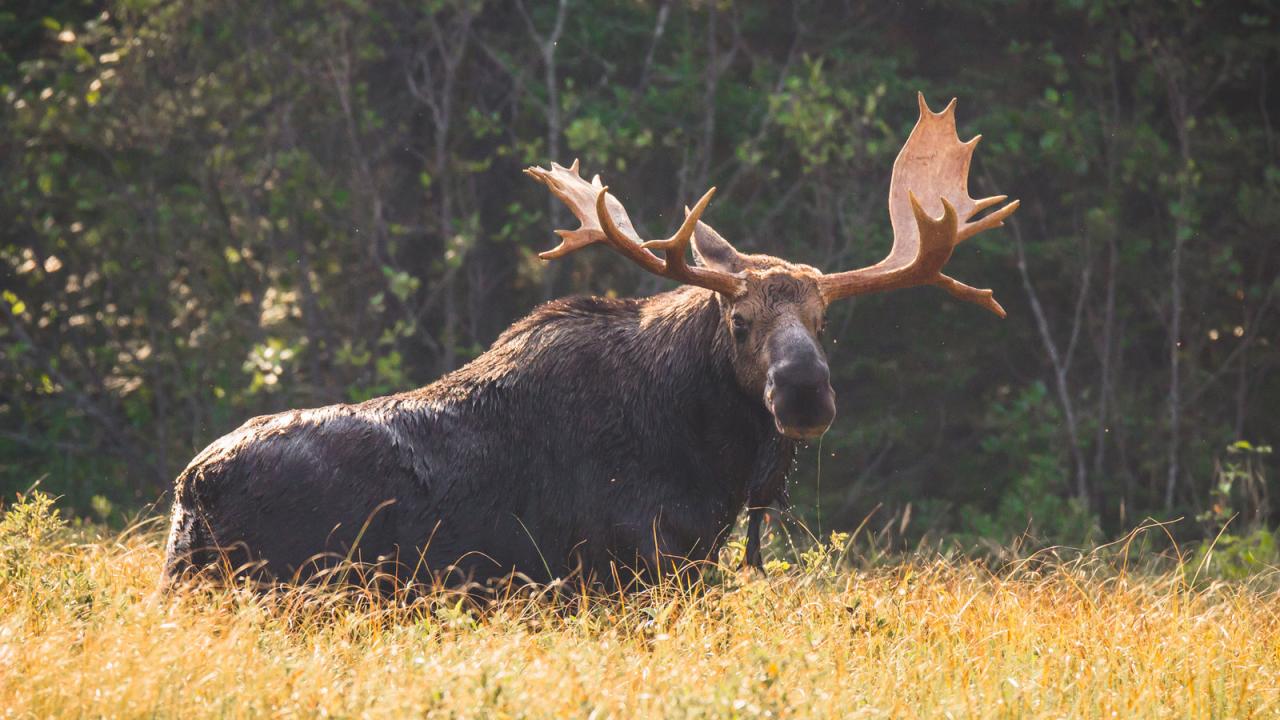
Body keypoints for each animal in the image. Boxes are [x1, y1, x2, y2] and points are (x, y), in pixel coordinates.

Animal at [162, 94, 1018, 589]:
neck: (713, 464)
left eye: (822, 319)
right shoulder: (629, 568)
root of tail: (194, 486)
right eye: (739, 322)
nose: (805, 393)